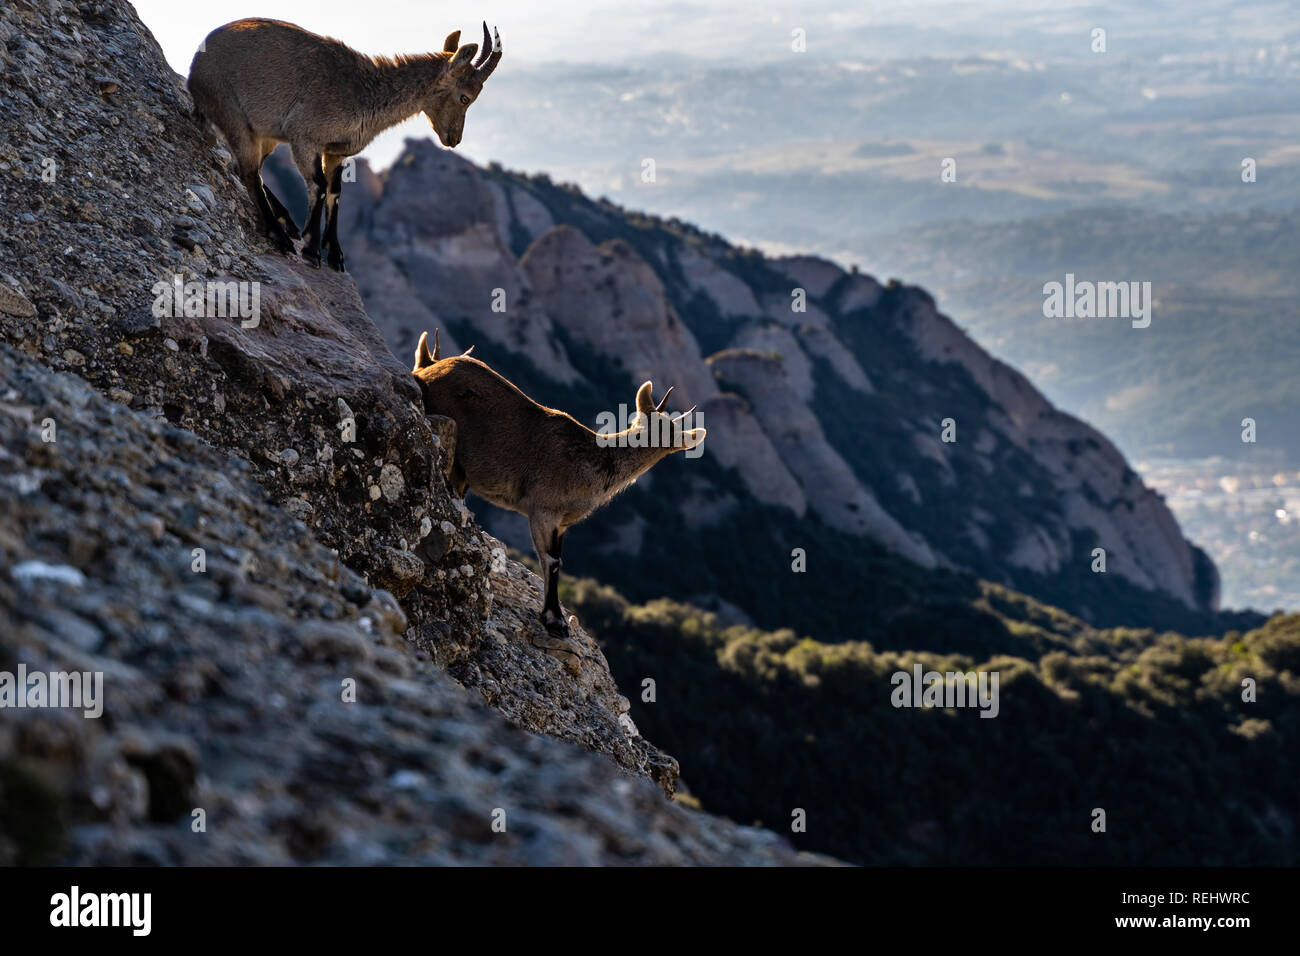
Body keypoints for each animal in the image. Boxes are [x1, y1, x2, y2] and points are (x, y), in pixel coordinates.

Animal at [188, 19, 501, 271]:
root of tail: (194, 69)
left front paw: (336, 255)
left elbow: (335, 192)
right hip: (235, 117)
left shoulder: (336, 151)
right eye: (465, 97)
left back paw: (287, 223)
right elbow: (317, 185)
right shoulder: (305, 138)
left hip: (266, 136)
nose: (453, 139)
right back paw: (280, 235)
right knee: (249, 173)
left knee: (251, 171)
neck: (364, 95)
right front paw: (312, 250)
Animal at [412, 331, 706, 633]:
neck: (594, 460)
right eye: (641, 426)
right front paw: (555, 620)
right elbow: (551, 561)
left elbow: (558, 559)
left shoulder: (563, 522)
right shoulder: (544, 509)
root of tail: (424, 369)